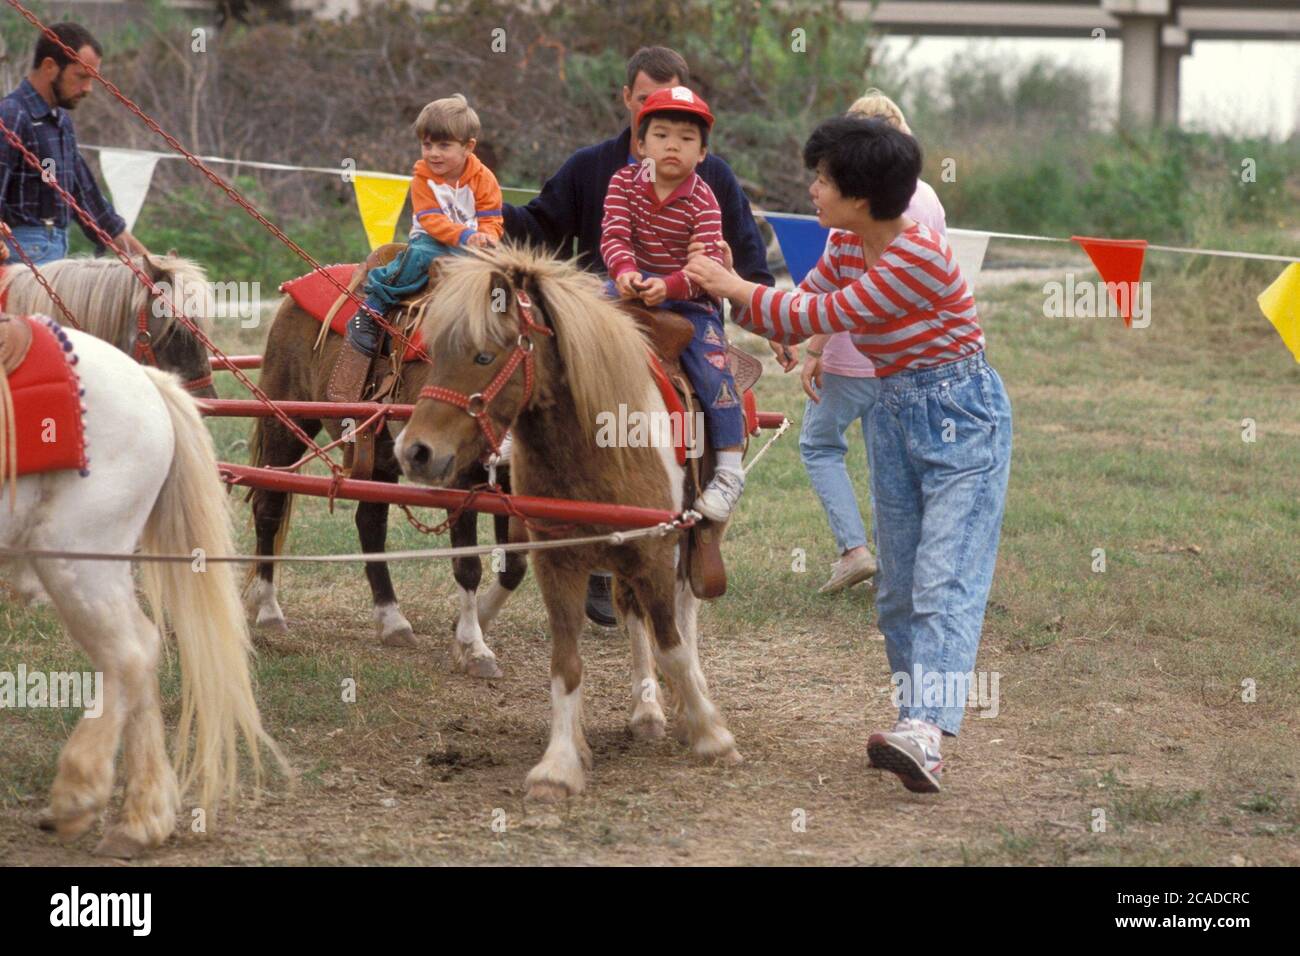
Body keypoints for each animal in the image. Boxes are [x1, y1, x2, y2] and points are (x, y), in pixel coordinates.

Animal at [0, 322, 281, 858]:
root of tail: (150, 383)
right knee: (140, 654)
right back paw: (142, 818)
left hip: (76, 558)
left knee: (130, 654)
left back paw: (81, 795)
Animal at [247, 246, 525, 678]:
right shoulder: (459, 482)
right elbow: (467, 565)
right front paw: (474, 646)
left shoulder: (508, 482)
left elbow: (514, 565)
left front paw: (474, 622)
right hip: (284, 425)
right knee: (268, 508)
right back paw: (269, 610)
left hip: (377, 457)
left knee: (370, 525)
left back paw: (392, 620)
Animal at [394, 245, 741, 801]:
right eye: (436, 352)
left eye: (484, 355)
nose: (415, 452)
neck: (594, 446)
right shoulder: (558, 562)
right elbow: (566, 664)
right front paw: (560, 762)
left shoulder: (654, 554)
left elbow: (673, 647)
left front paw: (711, 734)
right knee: (633, 618)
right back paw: (647, 709)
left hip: (688, 543)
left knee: (683, 614)